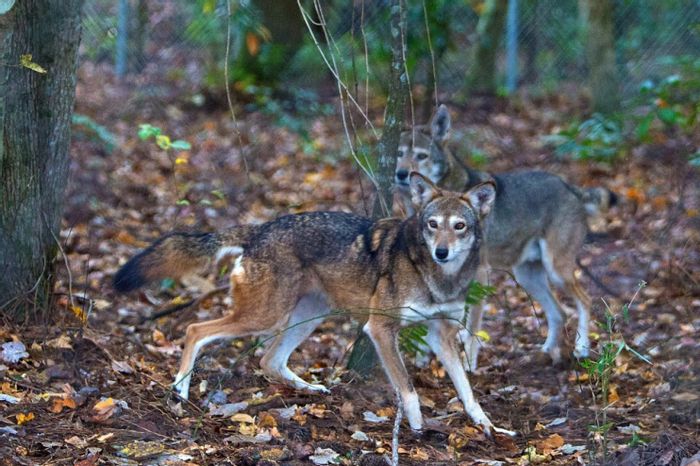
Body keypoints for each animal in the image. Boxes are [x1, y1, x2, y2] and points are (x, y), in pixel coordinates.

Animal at [113, 173, 515, 437]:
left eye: (459, 226)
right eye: (432, 224)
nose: (442, 251)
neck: (435, 275)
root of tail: (260, 229)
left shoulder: (440, 333)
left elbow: (467, 389)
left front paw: (488, 425)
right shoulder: (380, 329)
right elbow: (408, 388)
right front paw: (416, 427)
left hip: (309, 317)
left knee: (269, 360)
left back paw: (311, 390)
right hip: (264, 316)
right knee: (195, 329)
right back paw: (179, 390)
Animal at [394, 105, 617, 368]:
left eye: (421, 156)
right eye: (399, 154)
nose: (401, 173)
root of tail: (568, 186)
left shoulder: (480, 275)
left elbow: (472, 326)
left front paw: (469, 364)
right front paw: (422, 359)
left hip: (556, 271)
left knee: (585, 300)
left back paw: (581, 348)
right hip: (527, 277)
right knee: (559, 312)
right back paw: (544, 352)